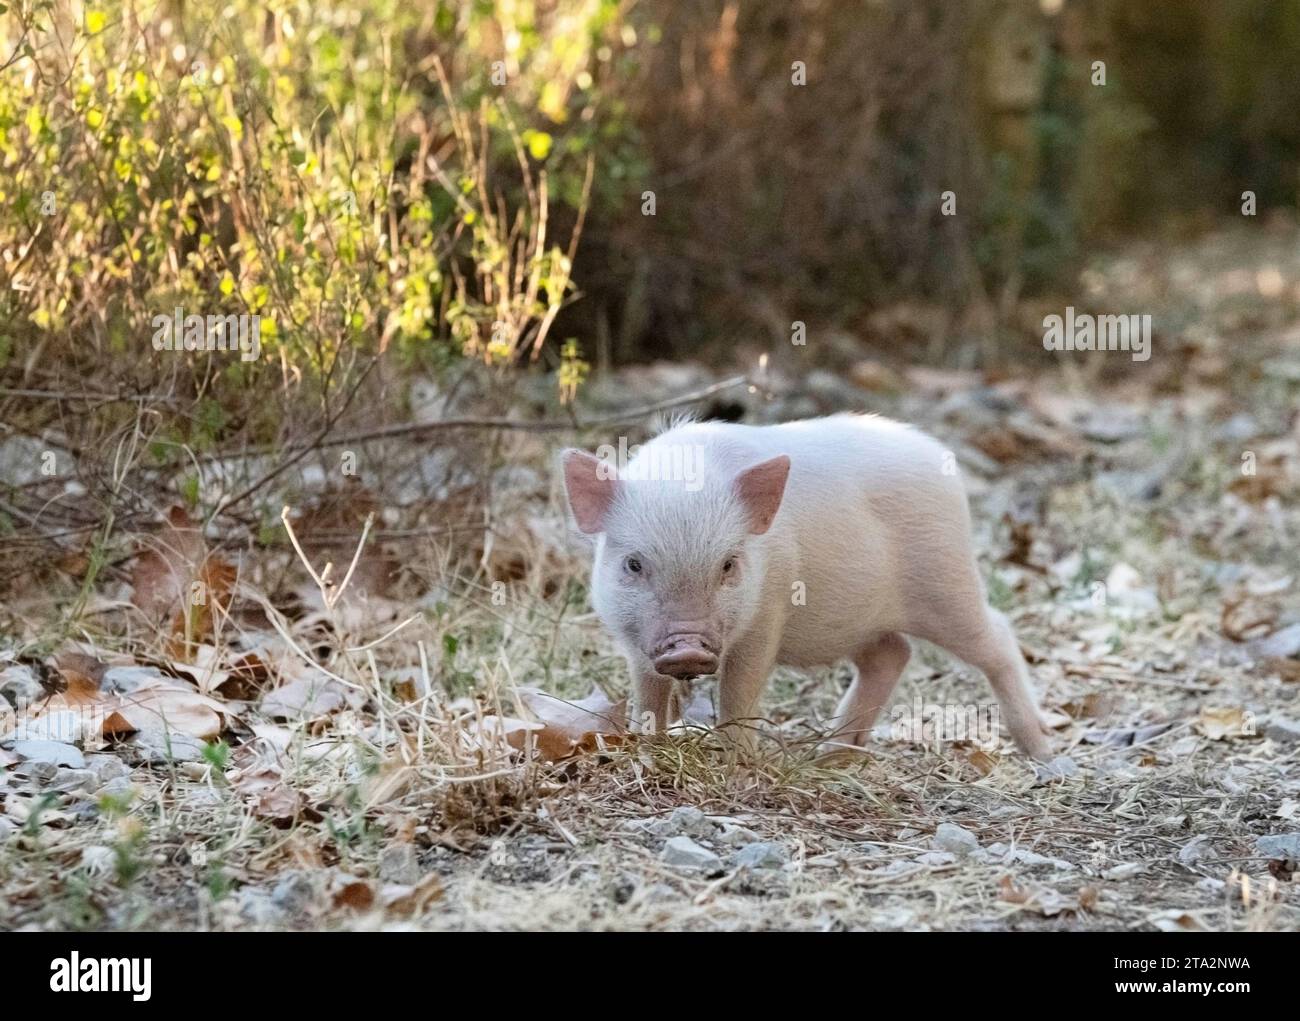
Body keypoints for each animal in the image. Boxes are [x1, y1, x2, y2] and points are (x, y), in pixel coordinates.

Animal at [561, 413, 1052, 759]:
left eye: (728, 565)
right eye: (634, 564)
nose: (688, 647)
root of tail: (938, 455)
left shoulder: (767, 615)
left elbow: (739, 692)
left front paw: (739, 767)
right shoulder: (633, 638)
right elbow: (648, 694)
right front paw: (647, 751)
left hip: (948, 582)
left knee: (998, 637)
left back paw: (1041, 752)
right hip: (867, 619)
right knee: (892, 653)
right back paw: (832, 755)